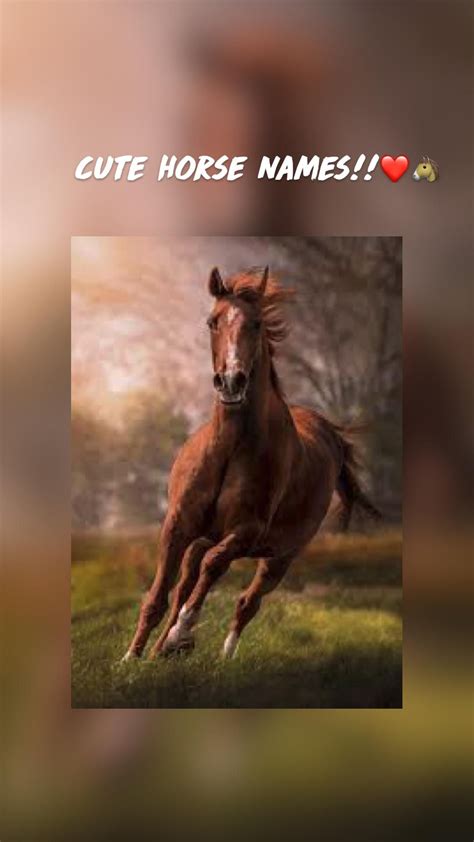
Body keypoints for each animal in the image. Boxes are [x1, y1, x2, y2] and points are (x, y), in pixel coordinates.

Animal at [122, 266, 380, 661]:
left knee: (245, 600)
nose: (231, 381)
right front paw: (131, 660)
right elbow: (158, 596)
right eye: (212, 321)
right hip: (207, 538)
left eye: (257, 323)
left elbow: (214, 566)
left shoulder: (246, 531)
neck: (229, 448)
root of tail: (330, 432)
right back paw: (161, 651)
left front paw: (183, 632)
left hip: (280, 557)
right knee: (188, 581)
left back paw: (219, 655)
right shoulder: (178, 525)